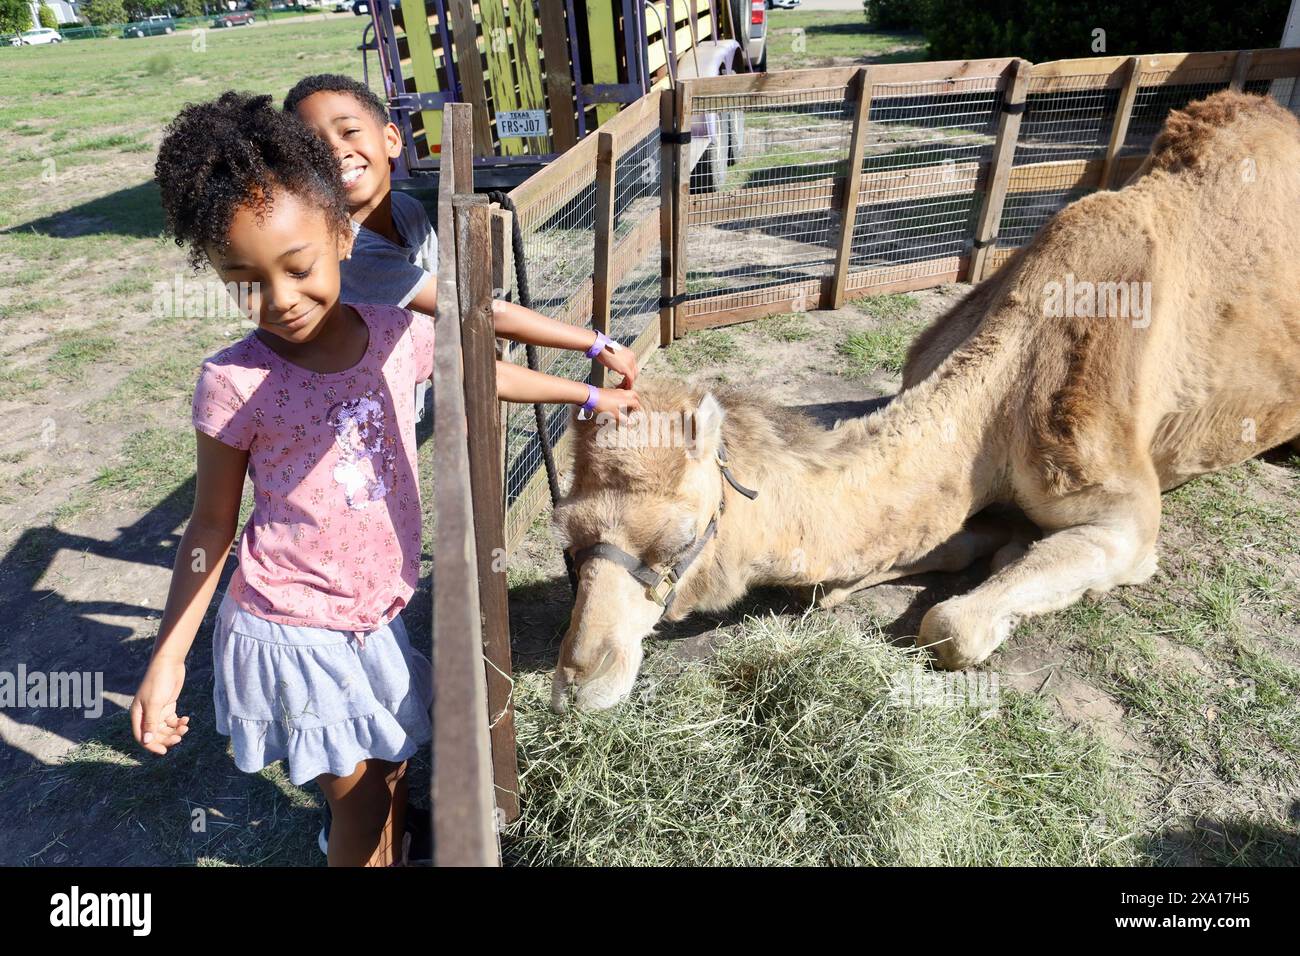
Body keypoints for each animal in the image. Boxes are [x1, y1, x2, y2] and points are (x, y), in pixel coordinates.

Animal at [550, 90, 1300, 710]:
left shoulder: (1126, 514)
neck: (1005, 391)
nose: (577, 679)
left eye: (677, 541)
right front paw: (982, 541)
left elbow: (951, 624)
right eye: (569, 538)